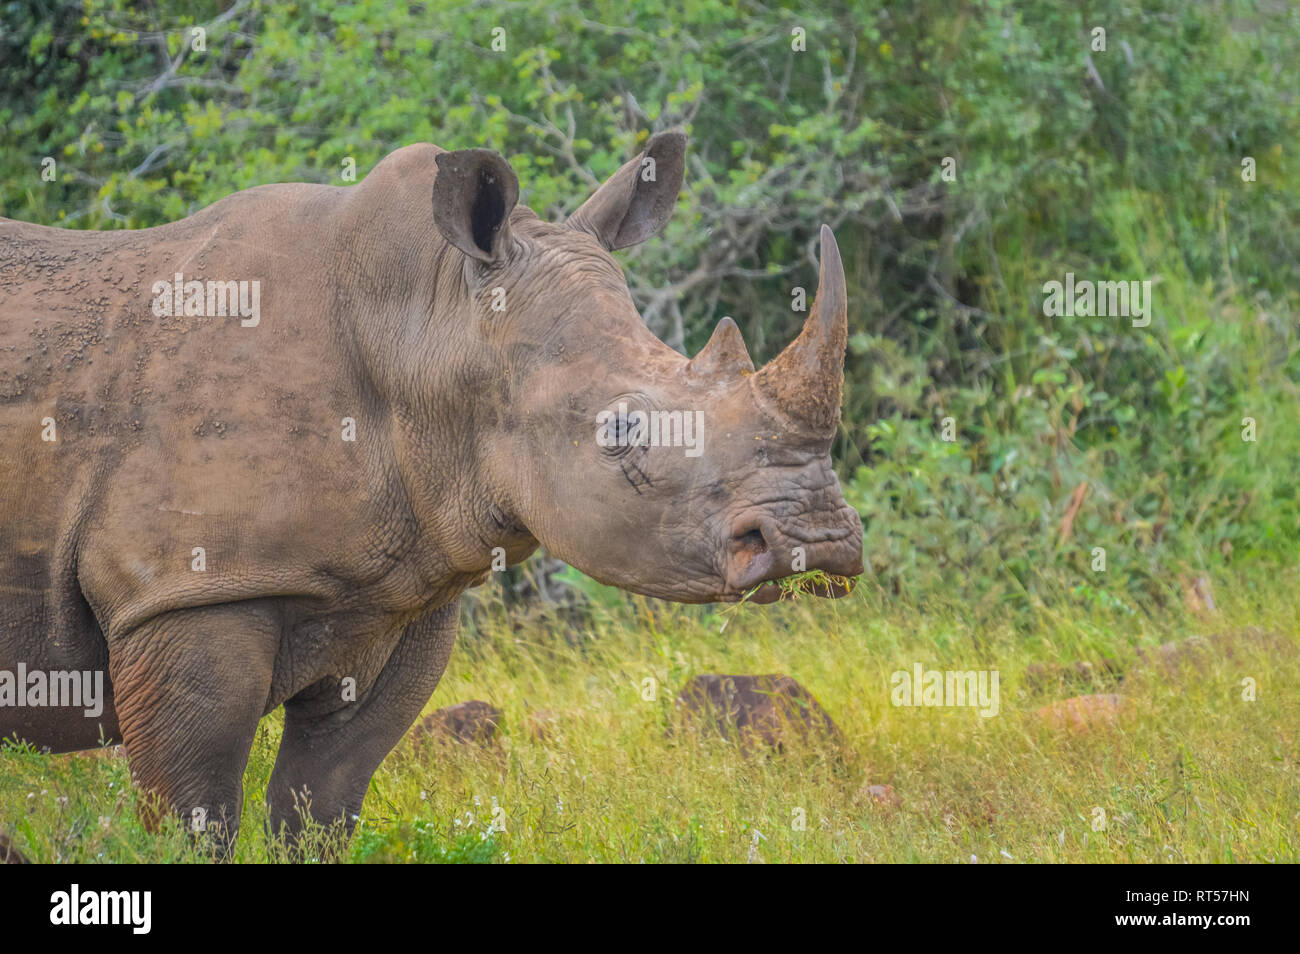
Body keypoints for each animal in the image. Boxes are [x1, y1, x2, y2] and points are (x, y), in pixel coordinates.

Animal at [0, 131, 863, 852]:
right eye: (622, 434)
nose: (819, 542)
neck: (429, 327)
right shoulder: (184, 592)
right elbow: (194, 816)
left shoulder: (402, 593)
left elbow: (320, 805)